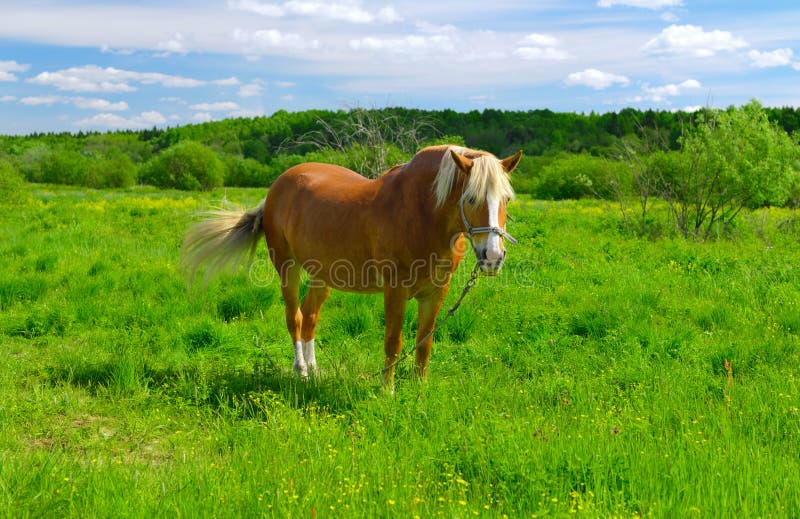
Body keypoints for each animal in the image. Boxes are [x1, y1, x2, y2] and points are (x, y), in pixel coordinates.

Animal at [180, 145, 521, 390]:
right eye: (471, 198)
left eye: (506, 199)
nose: (493, 256)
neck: (420, 212)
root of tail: (274, 191)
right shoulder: (395, 291)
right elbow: (393, 342)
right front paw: (387, 391)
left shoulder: (436, 293)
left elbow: (424, 343)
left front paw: (420, 391)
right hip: (288, 269)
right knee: (295, 318)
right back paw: (301, 373)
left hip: (322, 276)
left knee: (310, 318)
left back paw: (315, 370)